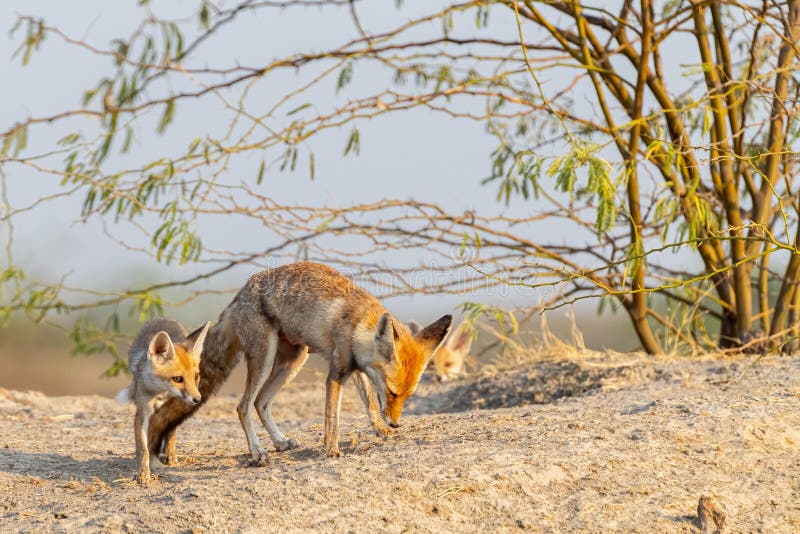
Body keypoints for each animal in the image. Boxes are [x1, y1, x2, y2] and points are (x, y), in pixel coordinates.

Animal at [116, 318, 210, 484]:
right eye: (177, 379)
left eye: (196, 376)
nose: (198, 399)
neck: (161, 392)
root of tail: (164, 319)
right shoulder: (142, 413)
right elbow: (143, 449)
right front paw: (143, 472)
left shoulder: (173, 404)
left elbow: (169, 431)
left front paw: (166, 455)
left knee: (171, 430)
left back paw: (169, 453)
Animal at [140, 262, 453, 465]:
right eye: (392, 391)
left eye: (408, 395)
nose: (397, 424)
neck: (358, 325)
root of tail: (238, 296)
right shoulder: (336, 373)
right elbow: (332, 418)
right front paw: (332, 449)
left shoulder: (356, 369)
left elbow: (370, 403)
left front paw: (380, 429)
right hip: (265, 357)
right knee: (244, 406)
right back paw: (257, 452)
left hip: (294, 359)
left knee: (261, 402)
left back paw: (279, 442)